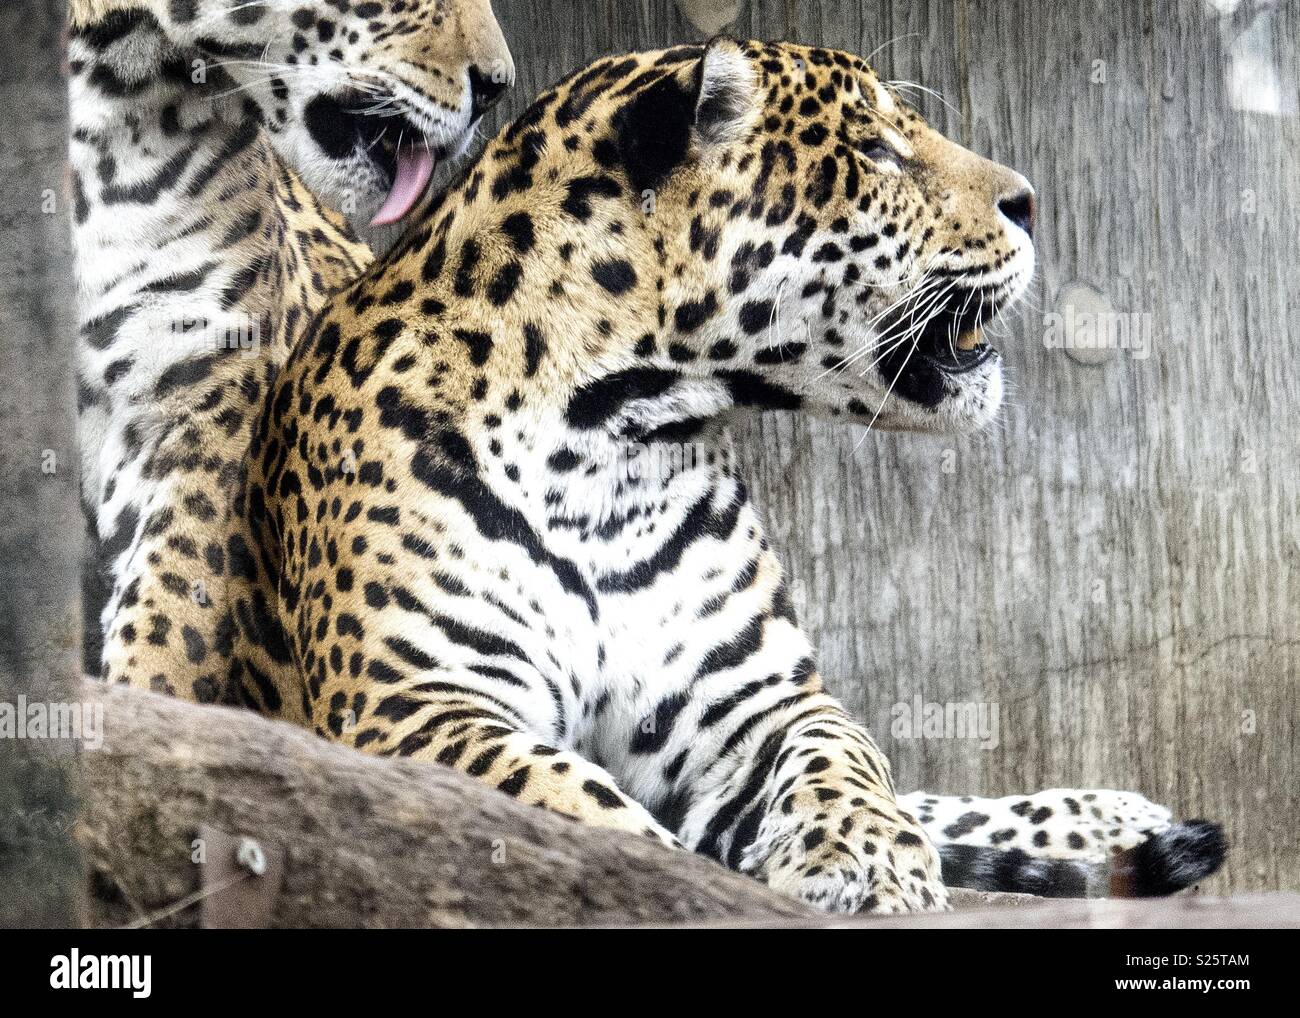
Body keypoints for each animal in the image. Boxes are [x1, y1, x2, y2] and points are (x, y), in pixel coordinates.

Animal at [204, 36, 1225, 912]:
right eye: (874, 151)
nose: (1030, 203)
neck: (606, 448)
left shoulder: (749, 698)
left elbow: (844, 754)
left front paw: (870, 861)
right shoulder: (417, 707)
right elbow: (573, 801)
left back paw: (1107, 820)